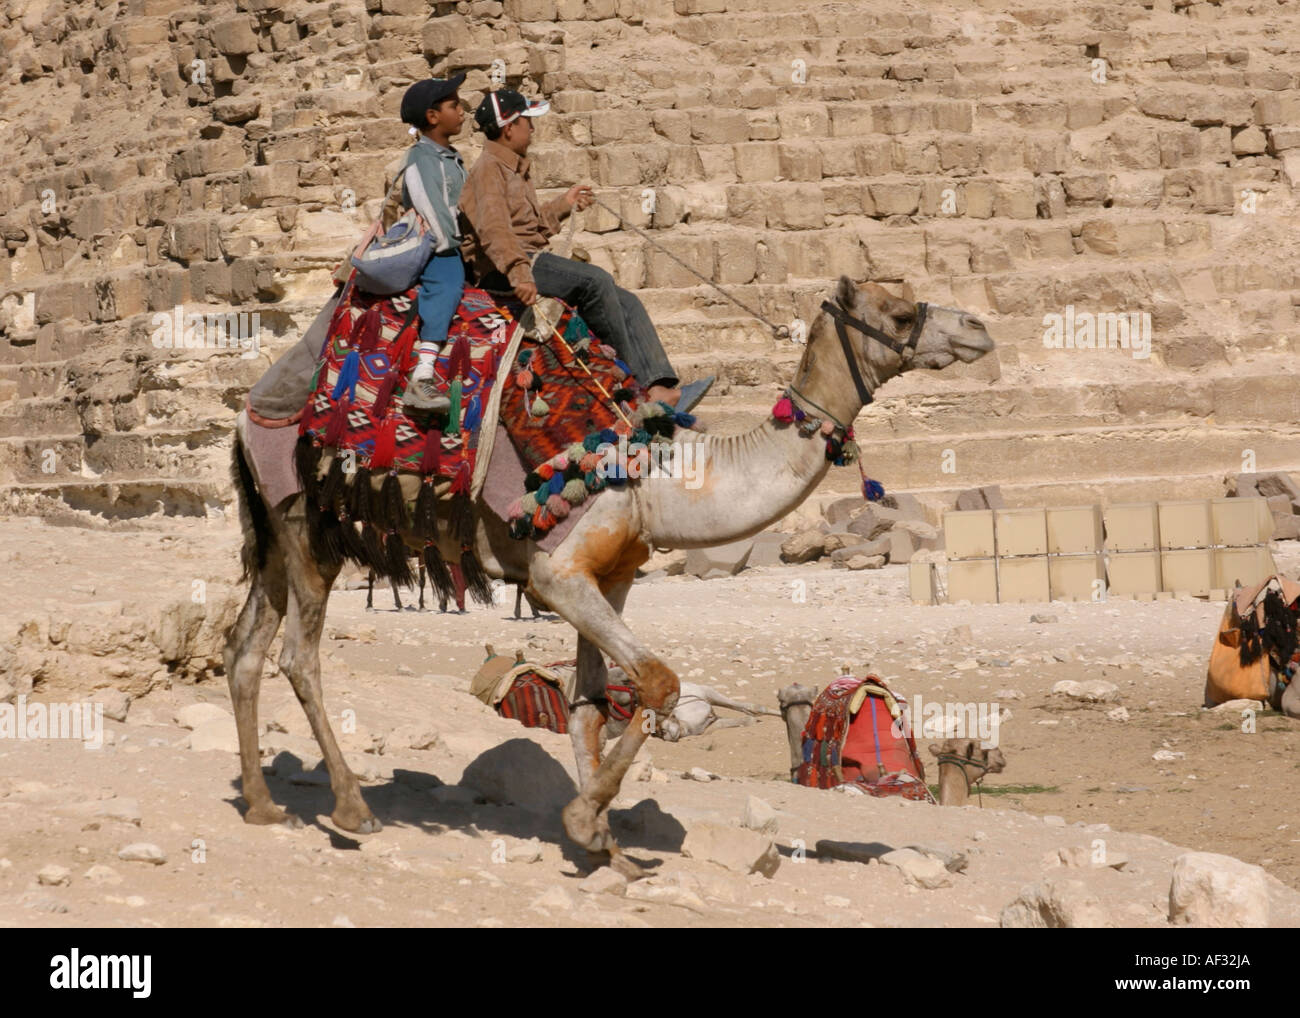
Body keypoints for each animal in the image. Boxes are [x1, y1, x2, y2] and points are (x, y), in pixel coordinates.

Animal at [223, 275, 994, 875]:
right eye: (900, 313)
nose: (980, 328)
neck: (658, 479)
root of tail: (249, 411)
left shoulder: (612, 576)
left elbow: (589, 705)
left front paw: (604, 847)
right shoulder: (555, 572)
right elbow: (658, 683)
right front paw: (586, 823)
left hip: (282, 534)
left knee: (244, 649)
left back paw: (262, 805)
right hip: (301, 515)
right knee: (298, 656)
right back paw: (352, 808)